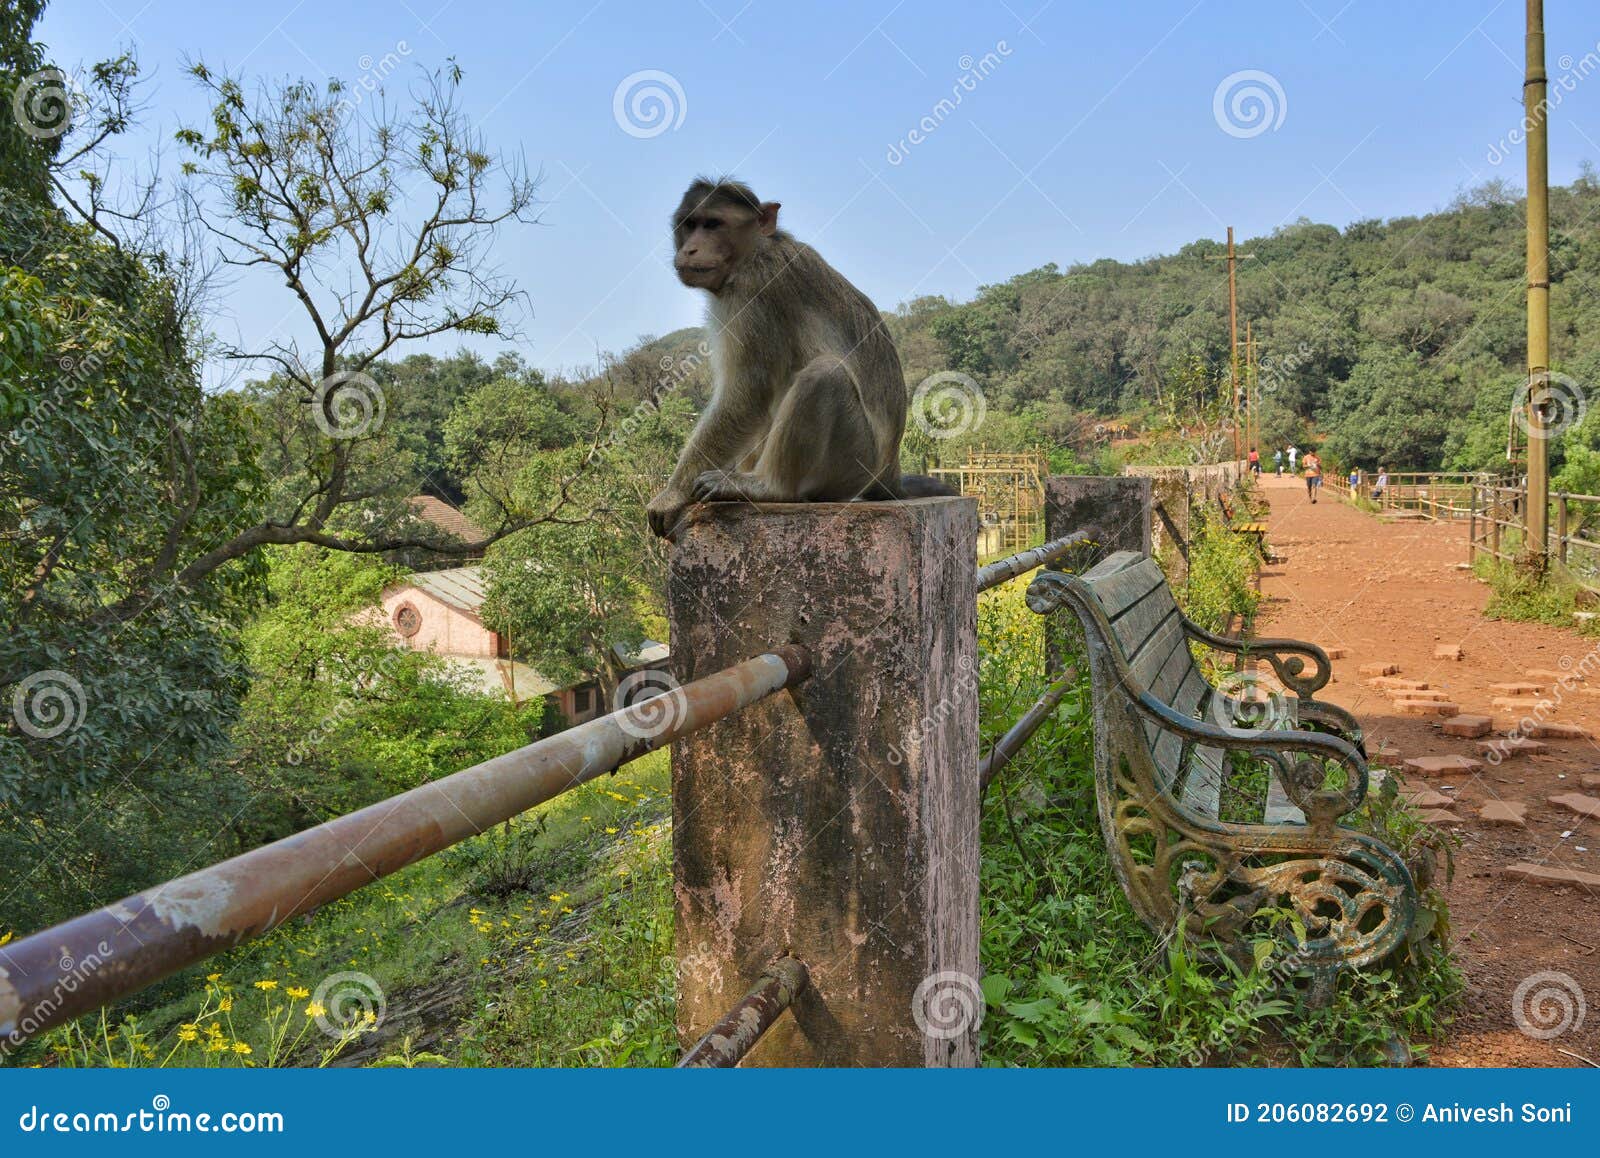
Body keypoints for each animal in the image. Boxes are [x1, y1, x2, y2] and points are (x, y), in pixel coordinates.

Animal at [645, 177, 953, 539]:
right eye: (689, 224)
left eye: (713, 224)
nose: (690, 249)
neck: (755, 251)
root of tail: (889, 472)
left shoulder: (755, 291)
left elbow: (747, 394)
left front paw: (671, 495)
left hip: (852, 464)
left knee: (825, 375)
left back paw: (769, 487)